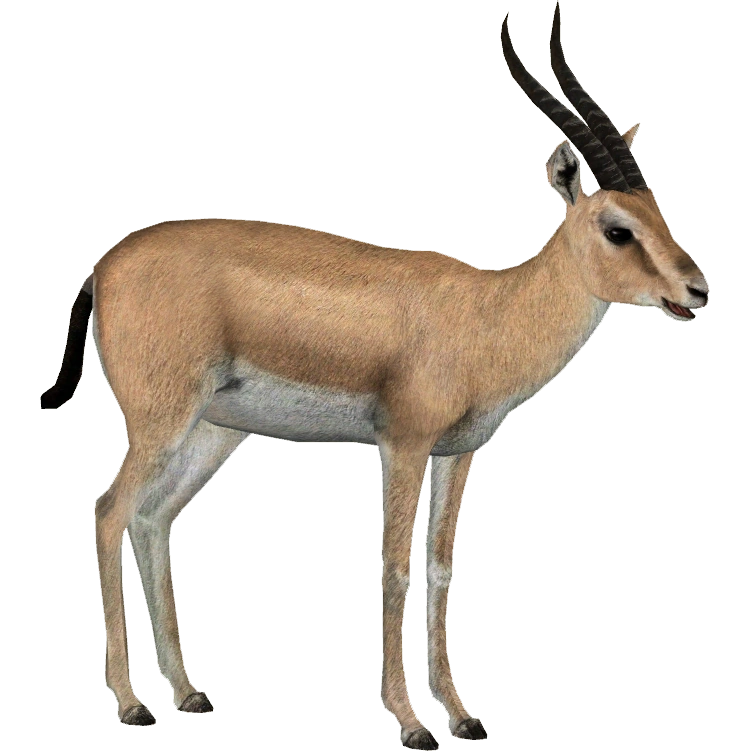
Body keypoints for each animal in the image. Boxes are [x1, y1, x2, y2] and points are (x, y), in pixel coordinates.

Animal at [40, 4, 709, 748]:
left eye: (658, 210)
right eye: (617, 227)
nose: (698, 288)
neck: (488, 313)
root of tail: (104, 263)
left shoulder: (458, 453)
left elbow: (442, 568)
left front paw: (464, 715)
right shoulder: (403, 442)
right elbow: (393, 566)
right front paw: (412, 722)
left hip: (212, 434)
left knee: (153, 518)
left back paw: (190, 694)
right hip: (160, 420)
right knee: (107, 511)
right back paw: (133, 705)